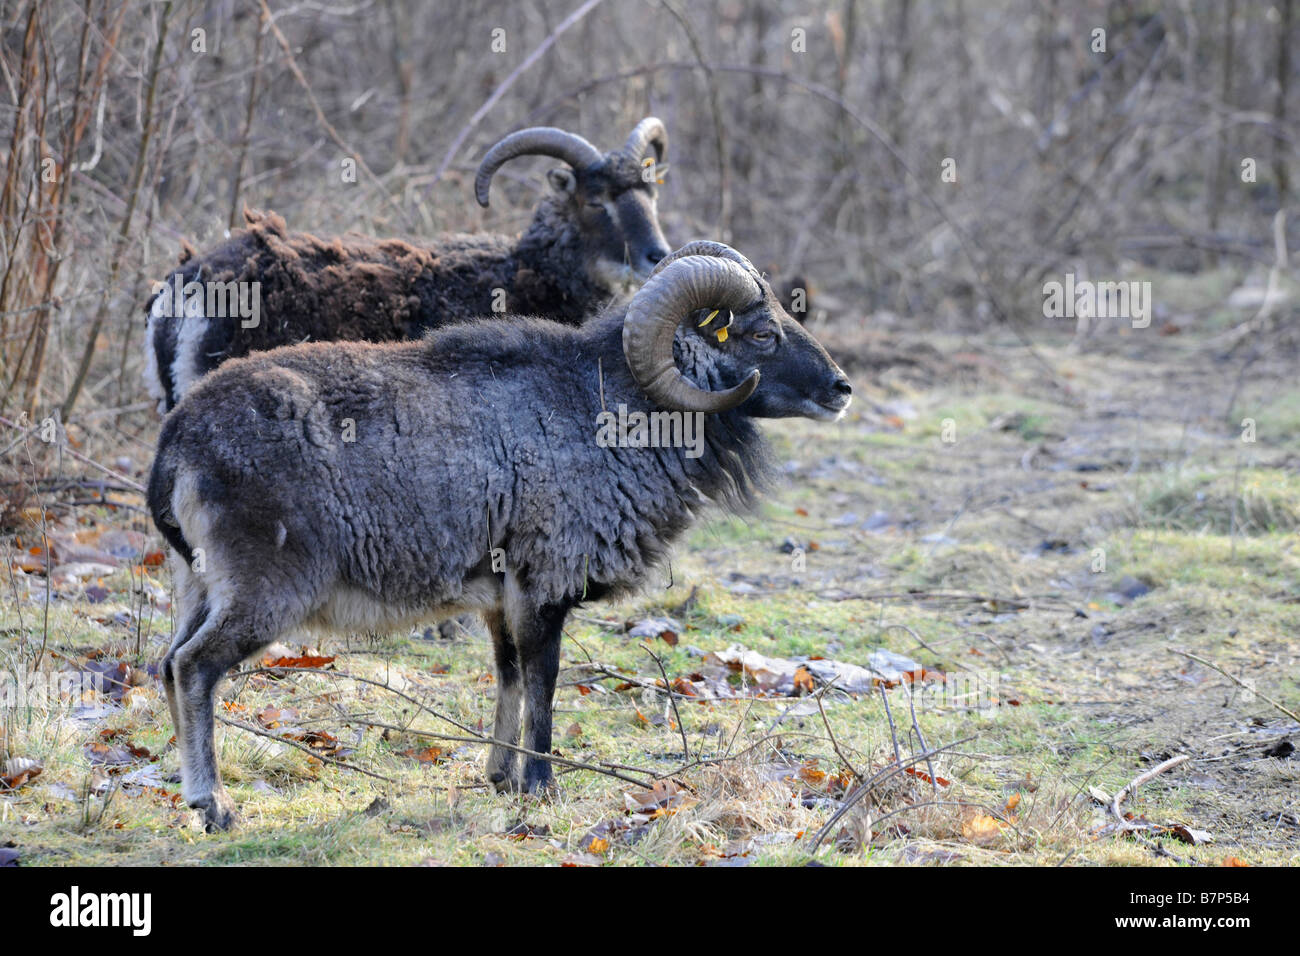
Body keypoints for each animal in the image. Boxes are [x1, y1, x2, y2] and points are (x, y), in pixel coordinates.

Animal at [147, 240, 853, 831]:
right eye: (761, 333)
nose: (841, 389)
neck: (609, 412)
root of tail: (177, 444)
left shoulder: (499, 593)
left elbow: (509, 676)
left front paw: (500, 778)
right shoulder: (544, 585)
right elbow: (543, 684)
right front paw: (541, 786)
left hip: (198, 584)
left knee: (167, 665)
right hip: (264, 591)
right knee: (194, 668)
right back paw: (213, 806)